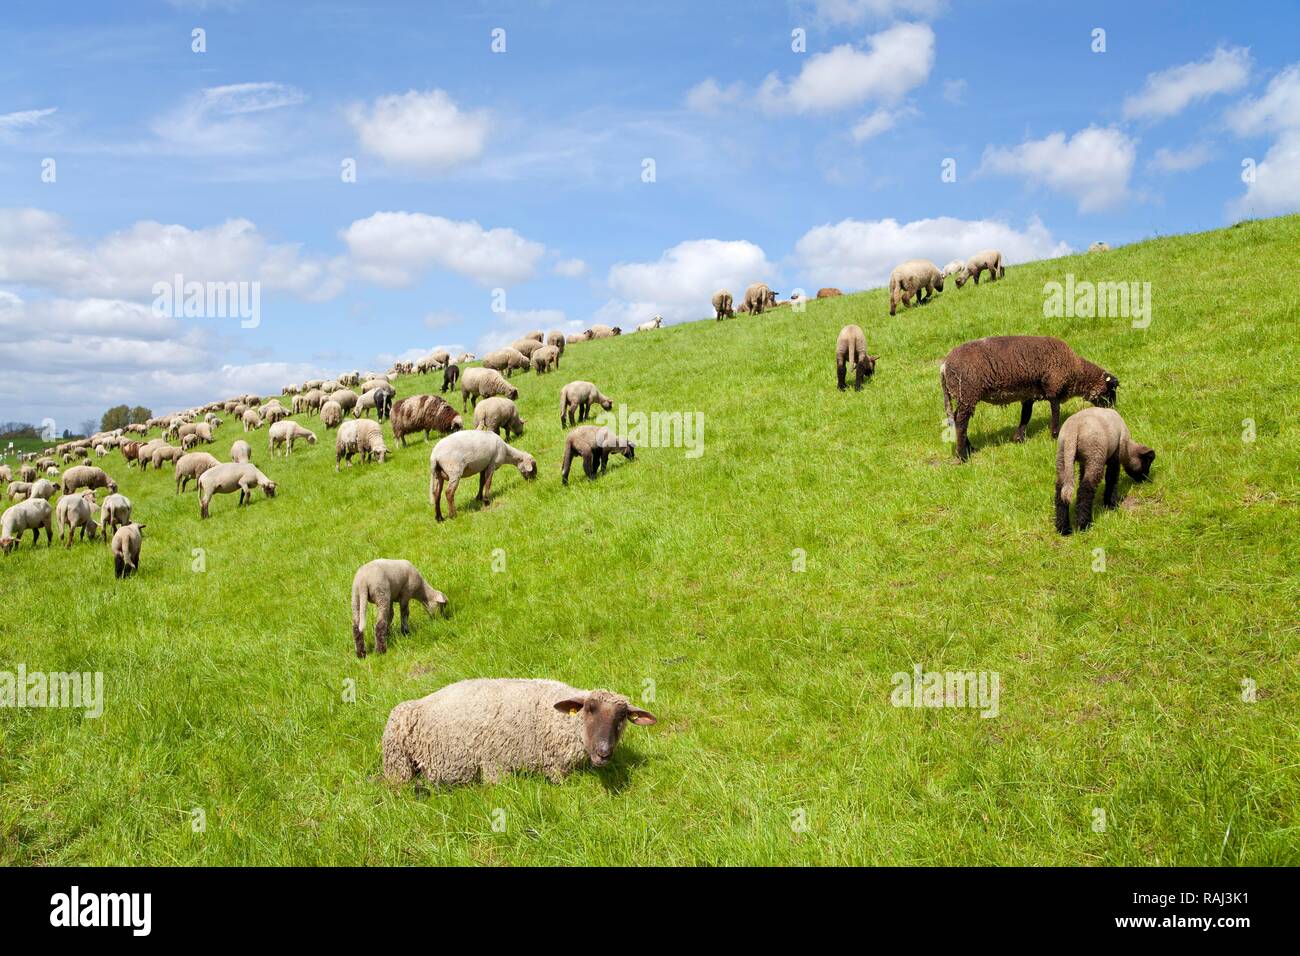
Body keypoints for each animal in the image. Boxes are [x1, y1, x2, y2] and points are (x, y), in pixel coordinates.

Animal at [940, 335, 1119, 461]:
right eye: (1110, 391)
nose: (1114, 412)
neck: (1075, 371)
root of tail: (944, 365)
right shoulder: (1053, 385)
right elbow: (1055, 411)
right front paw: (1055, 435)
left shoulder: (1029, 394)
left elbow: (1026, 415)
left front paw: (1019, 438)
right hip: (968, 393)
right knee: (961, 422)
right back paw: (963, 455)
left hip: (963, 397)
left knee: (957, 419)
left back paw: (970, 449)